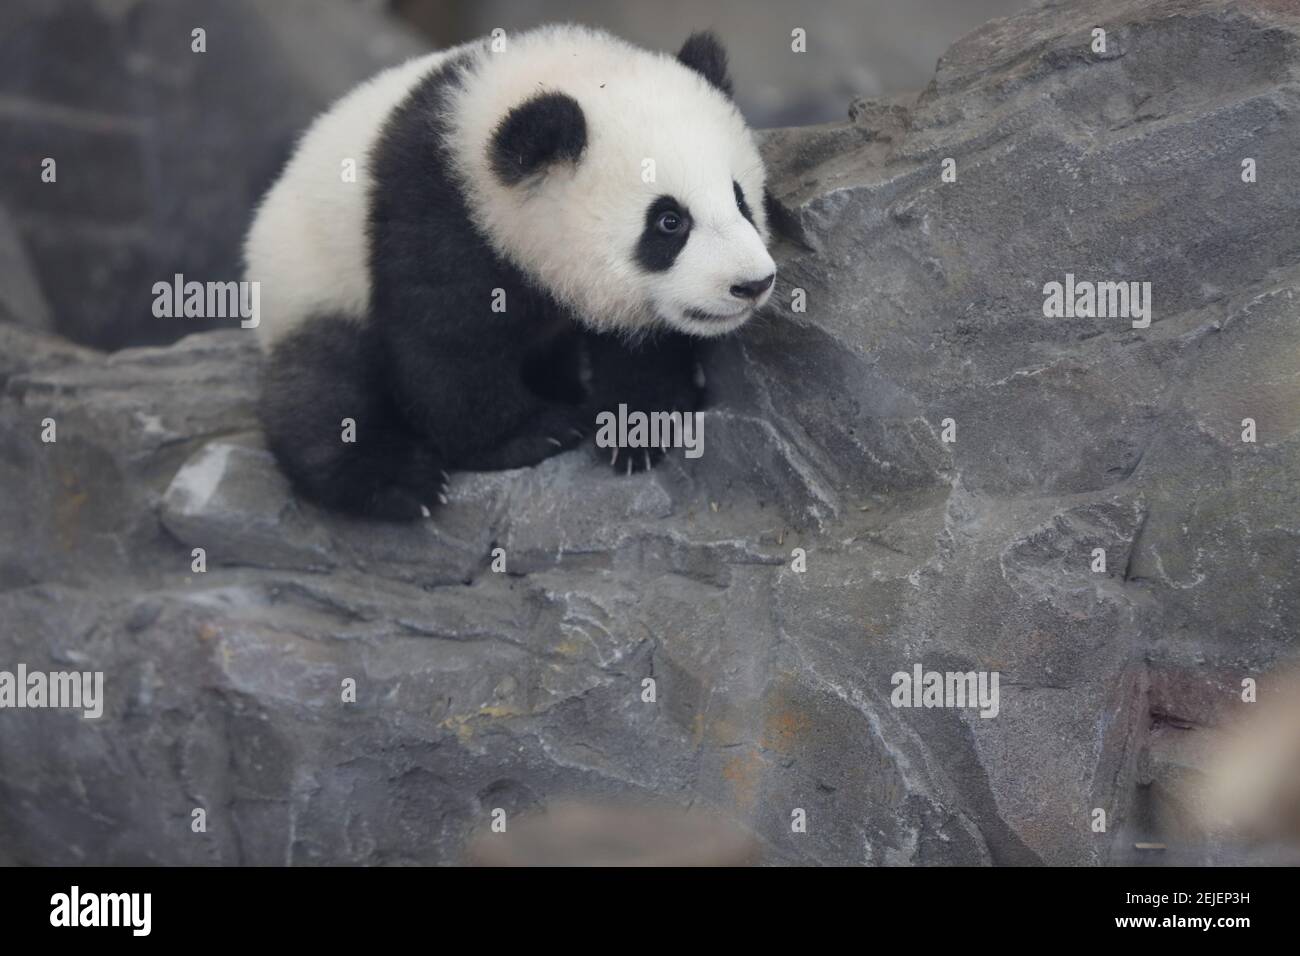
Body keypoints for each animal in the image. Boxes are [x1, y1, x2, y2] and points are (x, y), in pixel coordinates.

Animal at [245, 25, 776, 520]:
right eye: (669, 222)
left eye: (740, 200)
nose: (751, 284)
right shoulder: (433, 212)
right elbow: (446, 345)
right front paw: (534, 434)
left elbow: (638, 346)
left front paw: (638, 428)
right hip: (314, 278)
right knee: (323, 389)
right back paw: (393, 480)